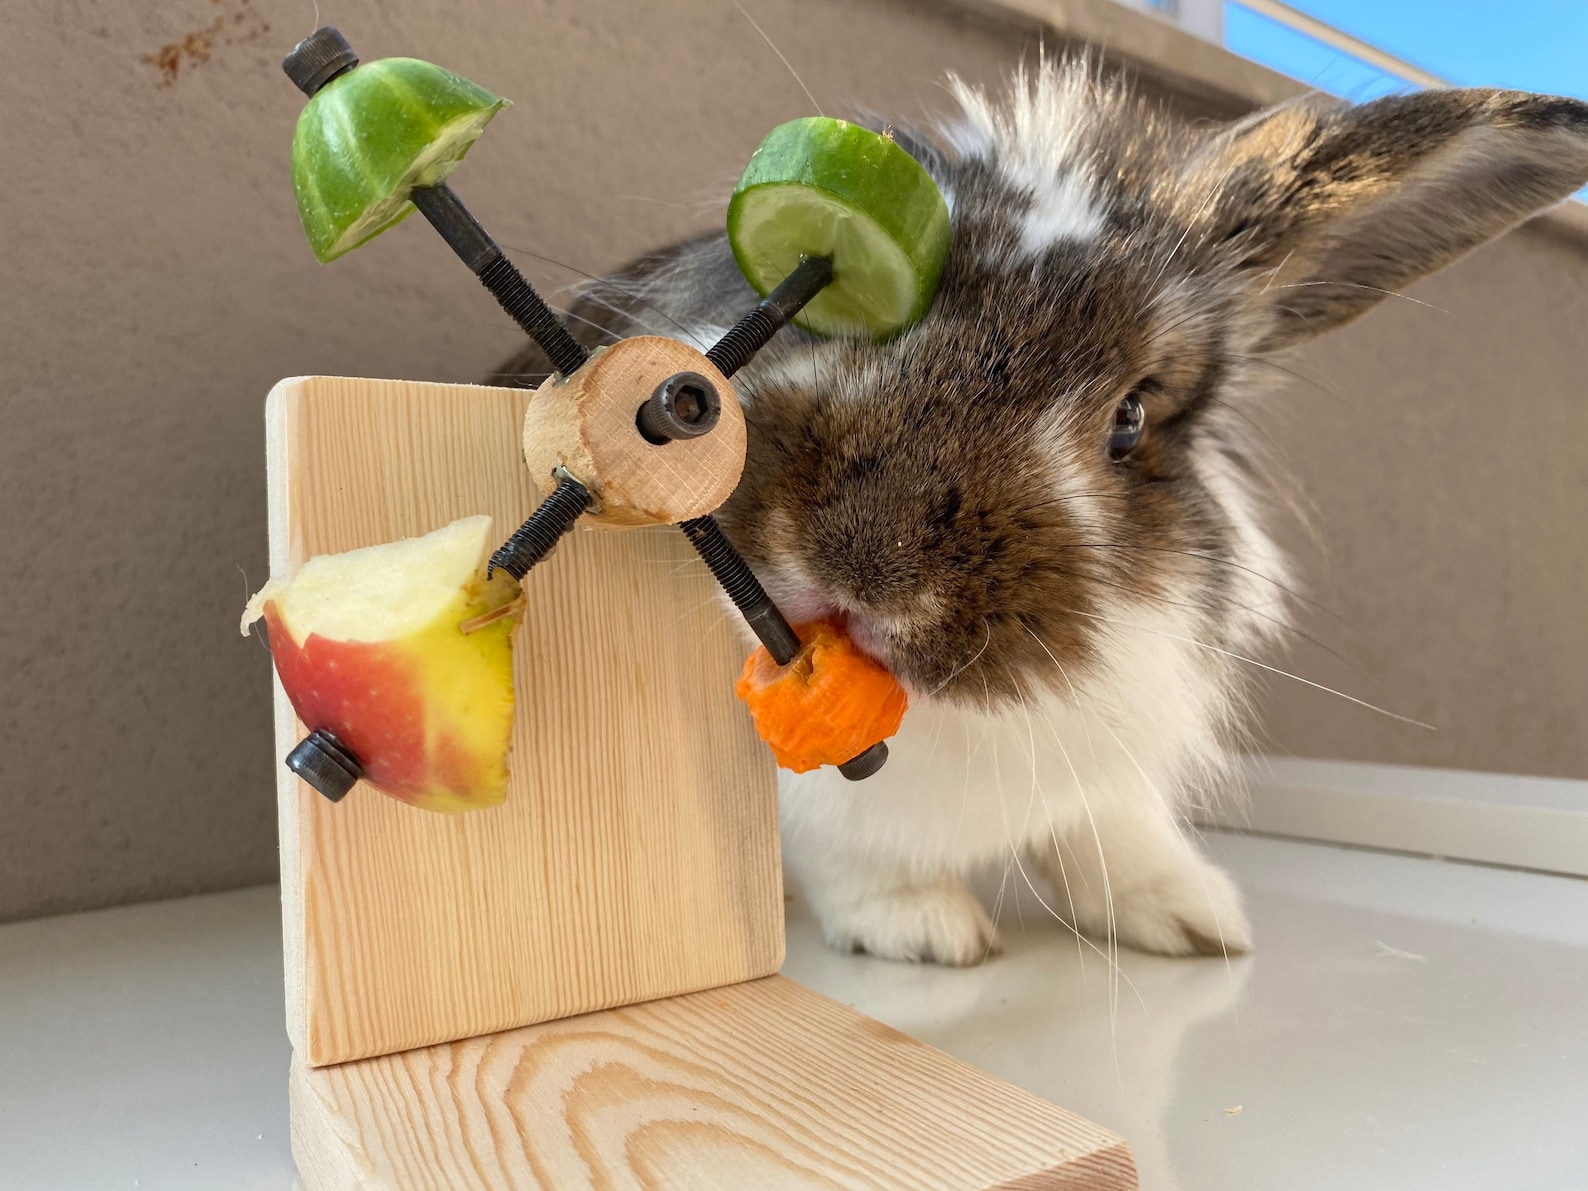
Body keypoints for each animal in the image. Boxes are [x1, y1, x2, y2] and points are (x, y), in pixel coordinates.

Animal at [496, 62, 1588, 966]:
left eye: (1131, 418)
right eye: (833, 301)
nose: (867, 566)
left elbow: (1115, 829)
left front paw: (1196, 916)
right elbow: (849, 848)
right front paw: (925, 926)